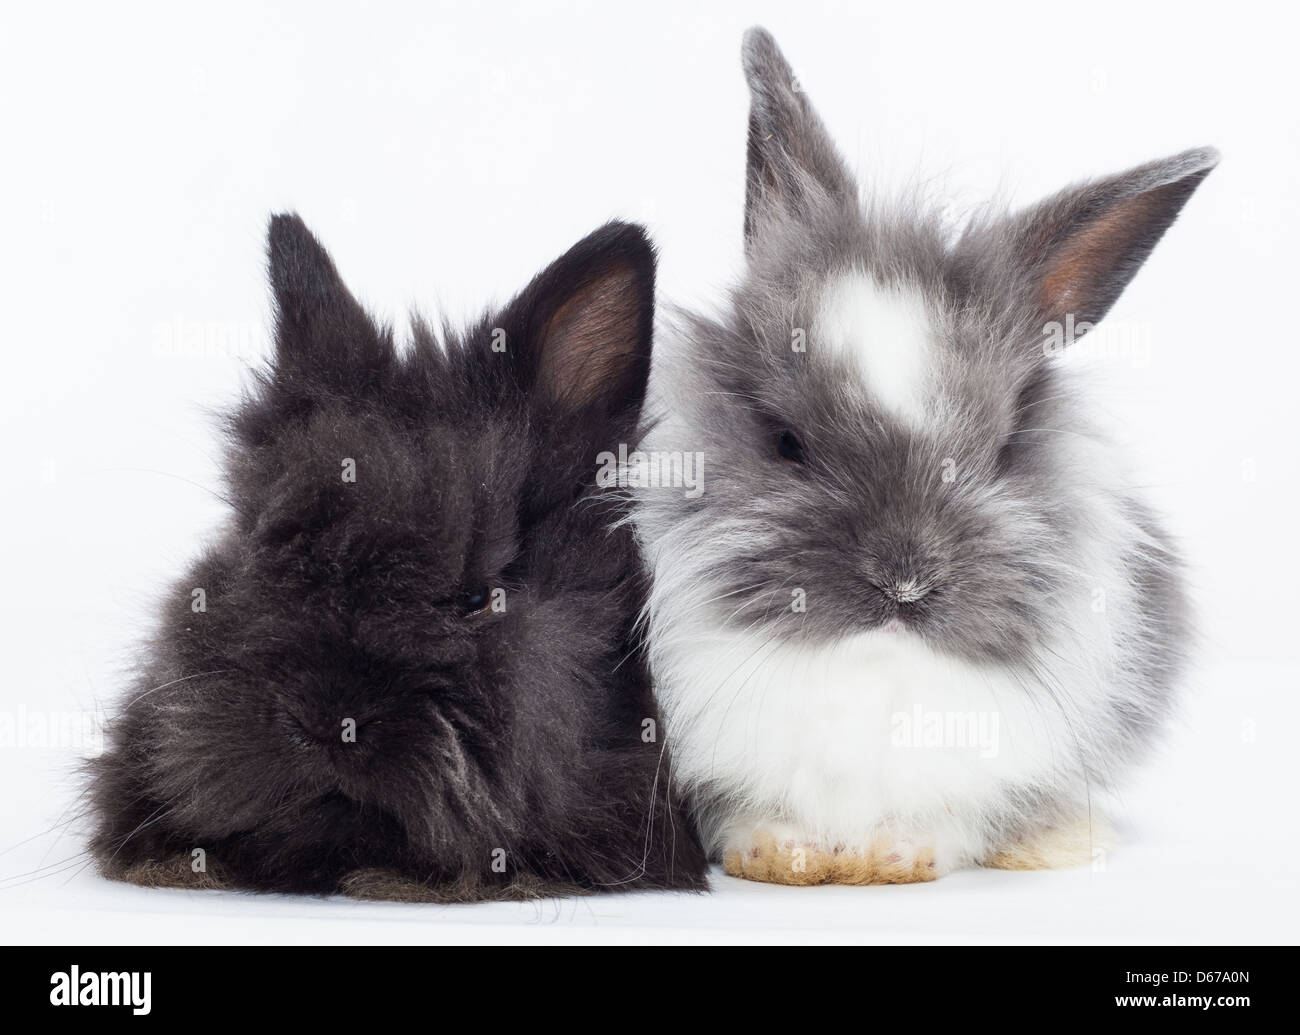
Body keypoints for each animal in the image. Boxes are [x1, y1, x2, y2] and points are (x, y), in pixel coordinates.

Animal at [632, 27, 1217, 884]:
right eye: (785, 440)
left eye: (998, 450)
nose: (904, 580)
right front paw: (779, 854)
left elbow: (952, 817)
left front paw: (893, 856)